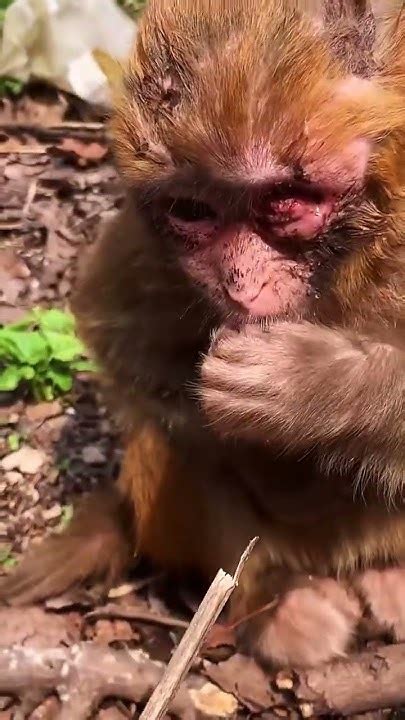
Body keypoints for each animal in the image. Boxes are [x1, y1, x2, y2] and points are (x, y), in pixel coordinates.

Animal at [1, 0, 405, 669]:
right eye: (192, 211)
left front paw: (313, 387)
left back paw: (386, 571)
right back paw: (278, 599)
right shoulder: (152, 252)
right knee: (168, 446)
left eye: (286, 201)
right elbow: (119, 340)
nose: (240, 284)